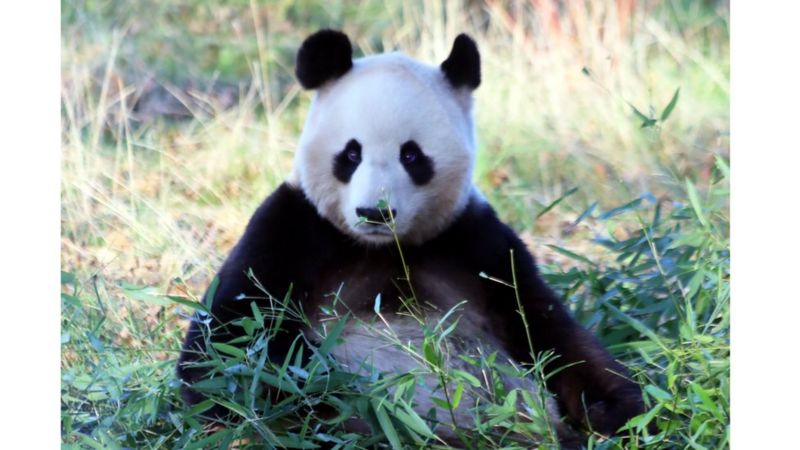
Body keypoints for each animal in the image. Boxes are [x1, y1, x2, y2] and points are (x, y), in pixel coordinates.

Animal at [178, 29, 645, 446]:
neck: (384, 248)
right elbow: (226, 354)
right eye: (351, 153)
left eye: (412, 155)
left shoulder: (477, 243)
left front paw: (615, 410)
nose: (375, 212)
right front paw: (341, 383)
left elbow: (547, 330)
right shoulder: (290, 231)